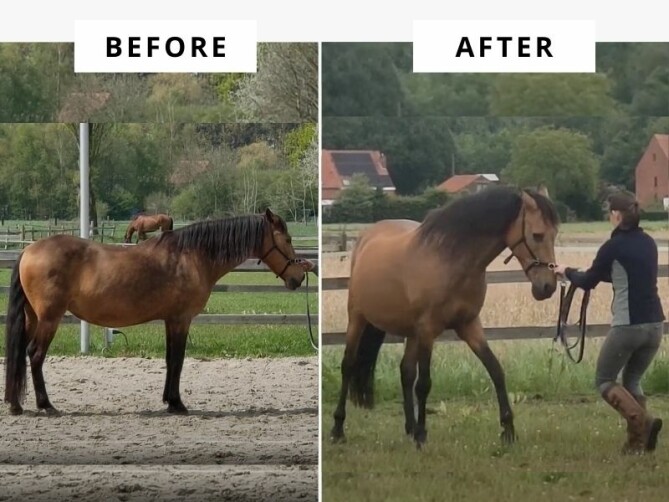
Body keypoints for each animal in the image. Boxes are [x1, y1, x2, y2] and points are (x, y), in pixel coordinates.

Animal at [4, 209, 313, 416]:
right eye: (286, 239)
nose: (298, 277)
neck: (192, 255)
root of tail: (29, 250)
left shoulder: (170, 320)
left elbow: (168, 359)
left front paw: (169, 400)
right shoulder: (181, 319)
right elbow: (178, 360)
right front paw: (177, 403)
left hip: (33, 318)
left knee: (19, 353)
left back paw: (16, 404)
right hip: (49, 319)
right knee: (35, 355)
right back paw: (46, 405)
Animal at [330, 185, 560, 447]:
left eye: (554, 234)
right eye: (537, 235)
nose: (547, 287)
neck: (452, 261)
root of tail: (366, 237)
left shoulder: (469, 325)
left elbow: (496, 371)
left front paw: (508, 430)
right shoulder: (428, 329)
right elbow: (424, 384)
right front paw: (422, 435)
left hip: (411, 332)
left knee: (405, 371)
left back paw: (409, 427)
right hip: (358, 319)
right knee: (348, 365)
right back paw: (338, 428)